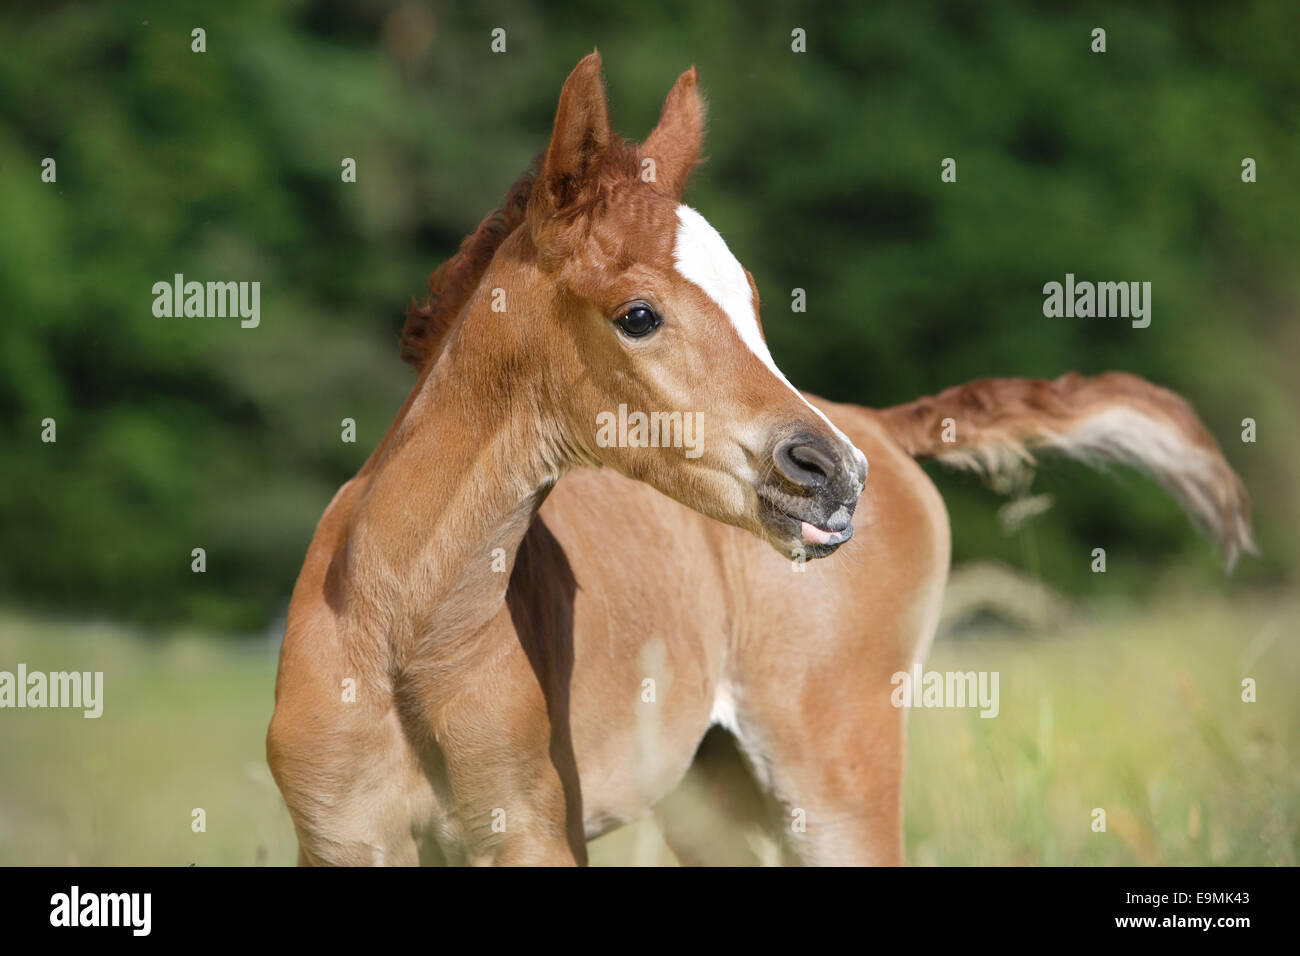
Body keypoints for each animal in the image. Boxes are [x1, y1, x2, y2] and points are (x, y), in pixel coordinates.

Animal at [267, 53, 1254, 866]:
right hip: (718, 802)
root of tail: (882, 427)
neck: (403, 633)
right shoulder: (340, 843)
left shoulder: (536, 835)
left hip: (838, 772)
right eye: (637, 314)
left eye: (748, 298)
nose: (832, 474)